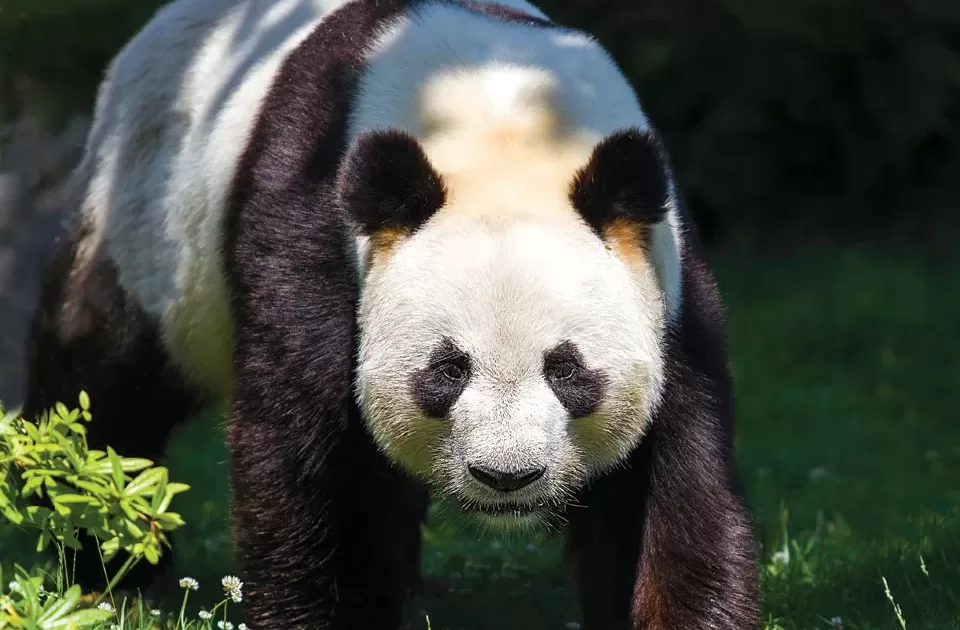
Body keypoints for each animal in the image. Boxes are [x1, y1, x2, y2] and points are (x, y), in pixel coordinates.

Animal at [22, 0, 760, 628]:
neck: (505, 122)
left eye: (568, 371)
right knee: (104, 381)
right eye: (448, 370)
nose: (506, 476)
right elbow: (306, 453)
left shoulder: (665, 282)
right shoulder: (315, 222)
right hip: (151, 226)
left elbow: (677, 481)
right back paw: (99, 560)